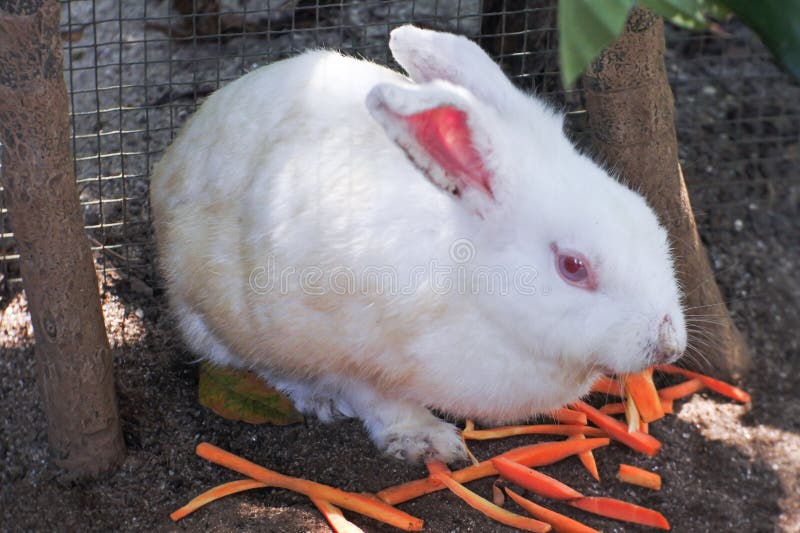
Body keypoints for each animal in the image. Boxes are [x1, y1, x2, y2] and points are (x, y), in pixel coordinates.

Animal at [150, 24, 687, 463]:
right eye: (573, 267)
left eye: (644, 214)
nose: (668, 343)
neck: (472, 282)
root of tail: (172, 160)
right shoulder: (342, 346)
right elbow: (374, 396)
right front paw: (427, 441)